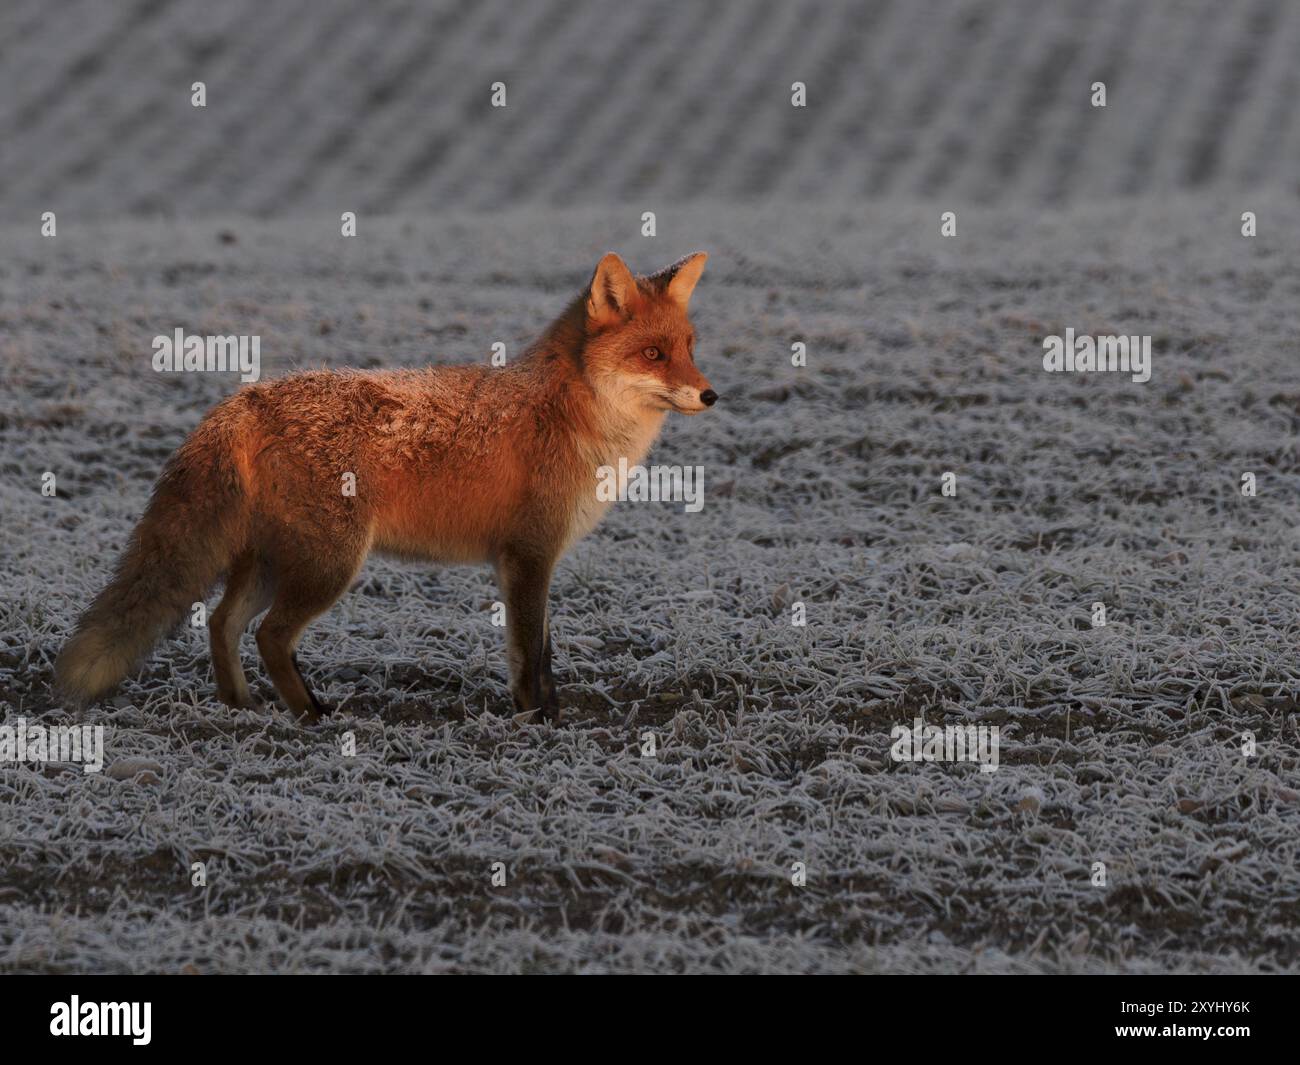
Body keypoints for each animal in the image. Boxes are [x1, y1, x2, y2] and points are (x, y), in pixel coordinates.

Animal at [55, 251, 716, 724]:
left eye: (688, 348)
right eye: (652, 354)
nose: (711, 395)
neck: (571, 417)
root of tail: (243, 400)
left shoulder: (527, 559)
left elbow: (542, 650)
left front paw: (545, 713)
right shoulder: (529, 554)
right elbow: (529, 653)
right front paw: (538, 722)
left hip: (273, 560)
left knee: (221, 625)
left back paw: (241, 709)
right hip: (329, 563)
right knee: (269, 634)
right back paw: (311, 716)